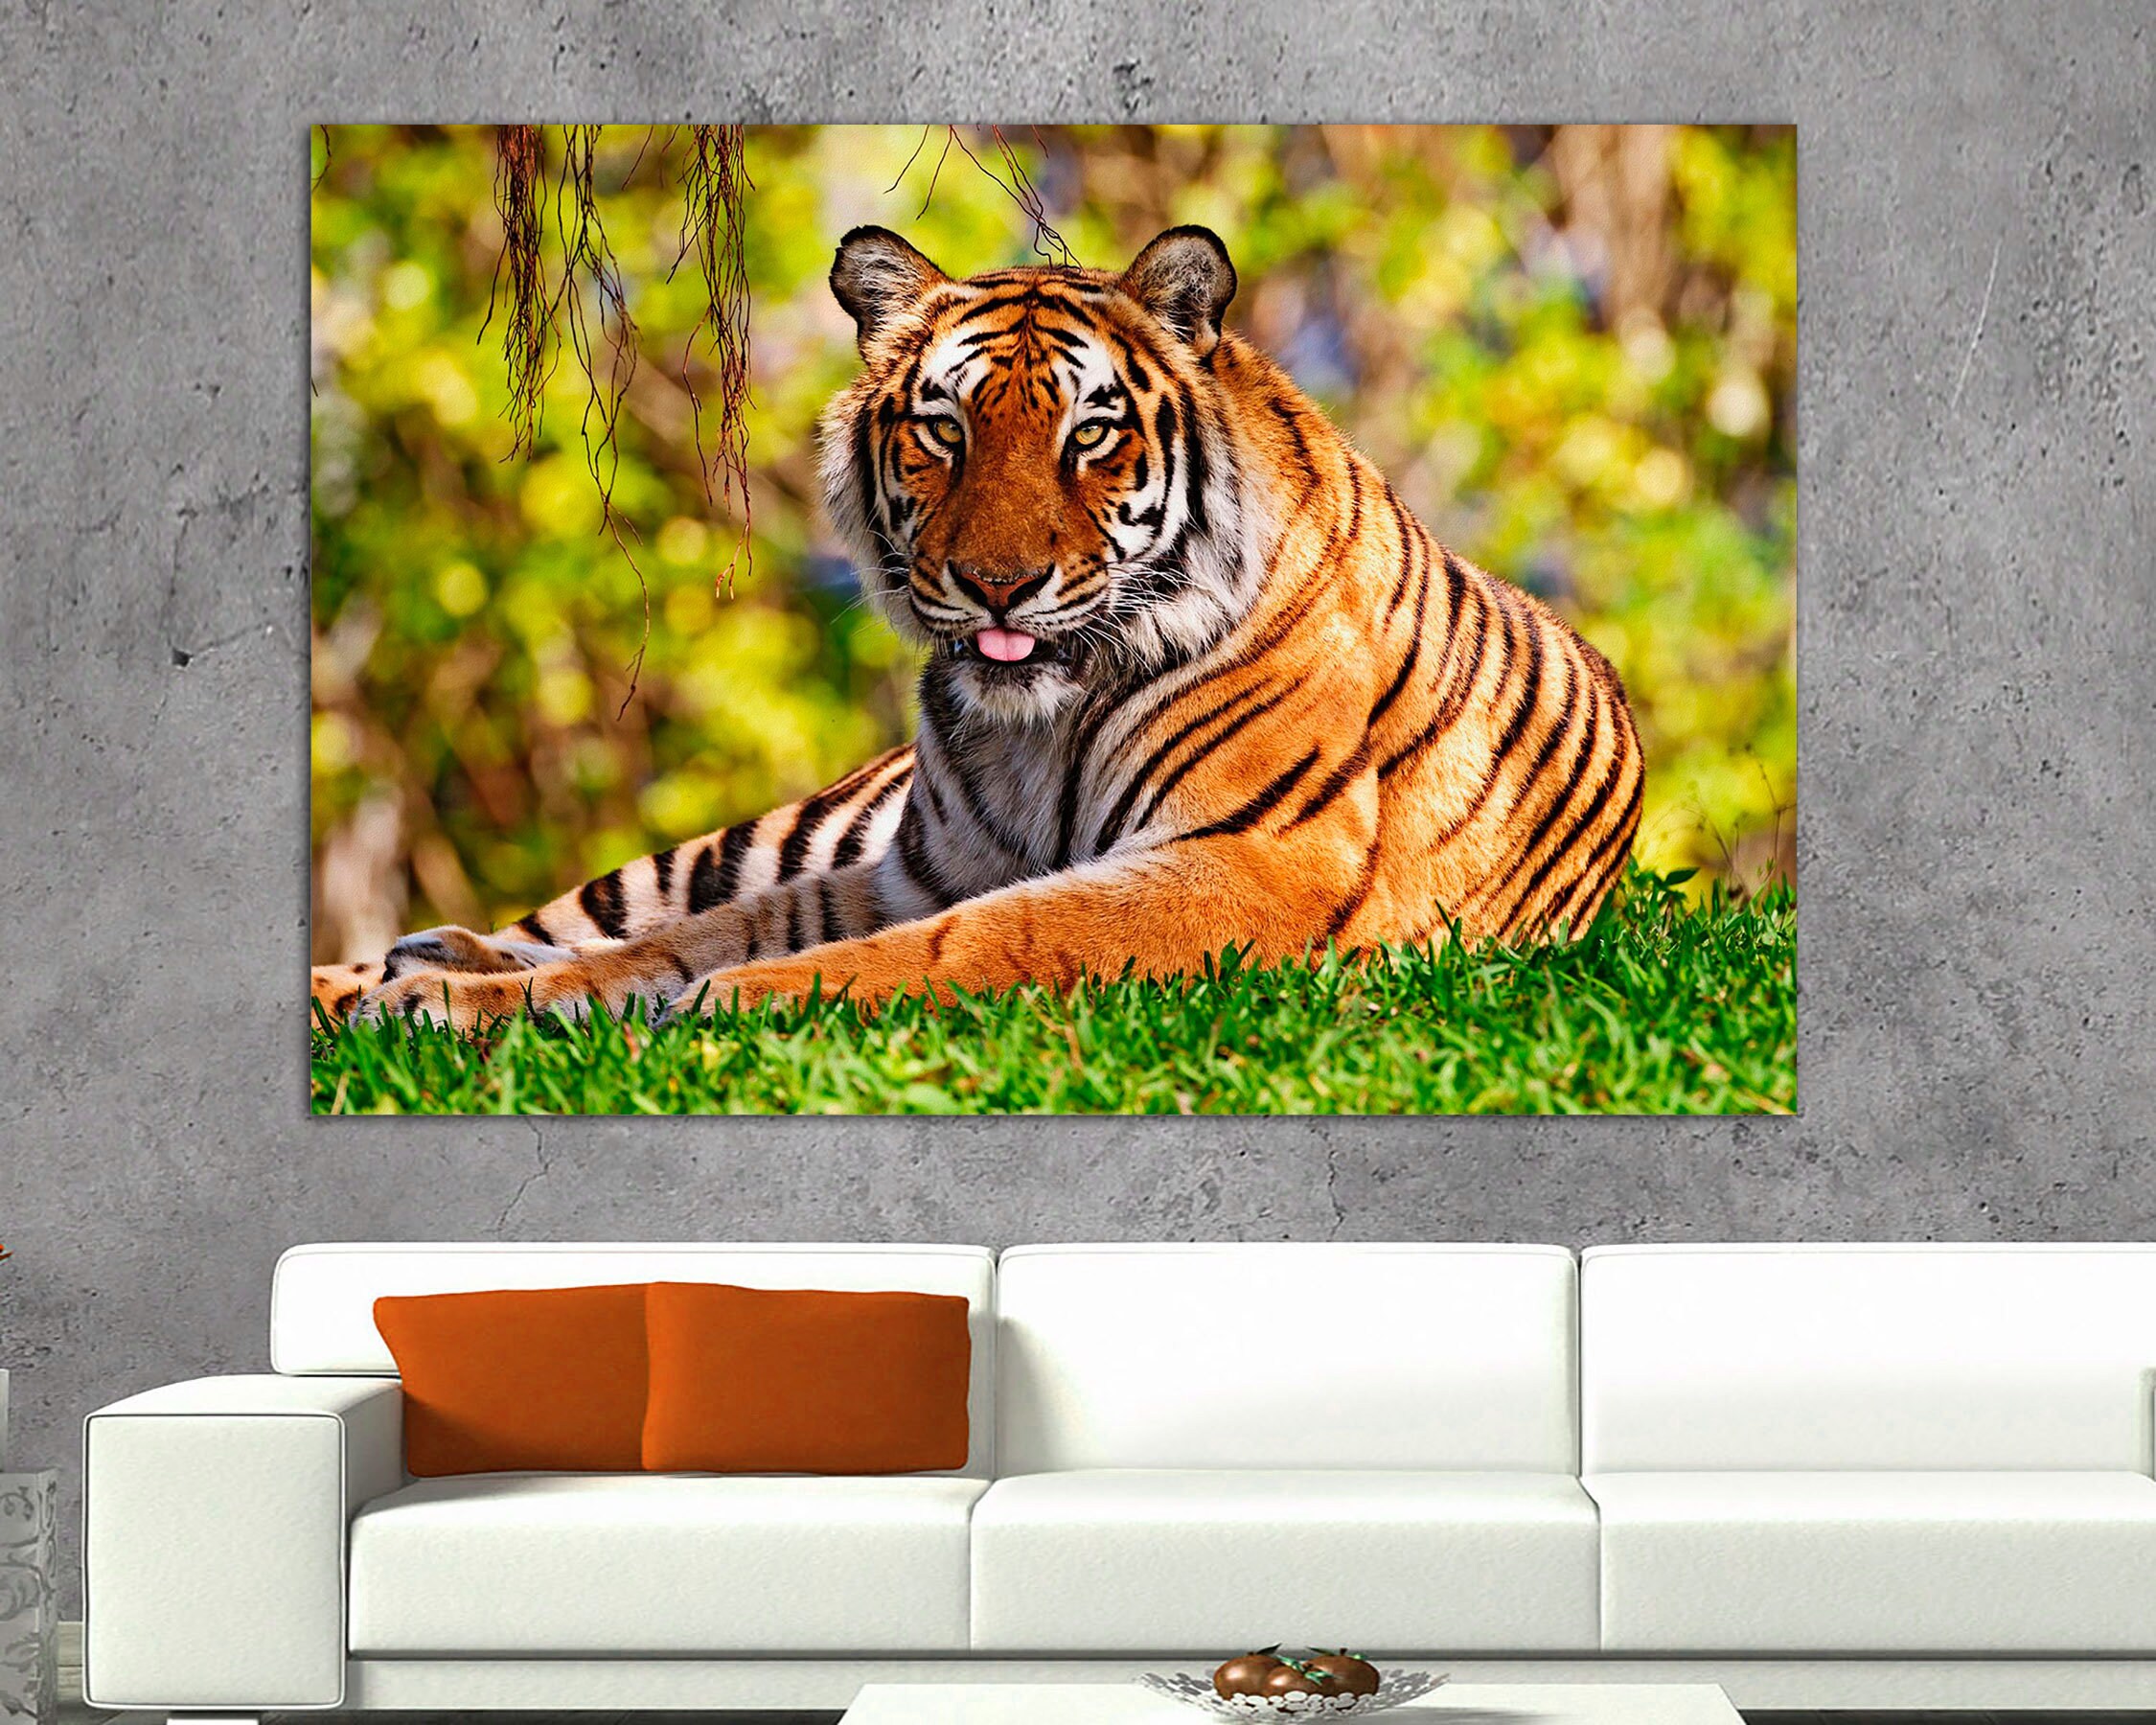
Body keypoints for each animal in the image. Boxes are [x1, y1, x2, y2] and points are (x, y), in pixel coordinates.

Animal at [311, 223, 1644, 1033]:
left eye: (1090, 433)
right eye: (943, 430)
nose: (997, 583)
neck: (1037, 725)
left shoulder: (1251, 862)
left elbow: (971, 942)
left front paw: (729, 1003)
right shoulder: (914, 866)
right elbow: (686, 939)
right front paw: (468, 1004)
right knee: (577, 921)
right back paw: (409, 966)